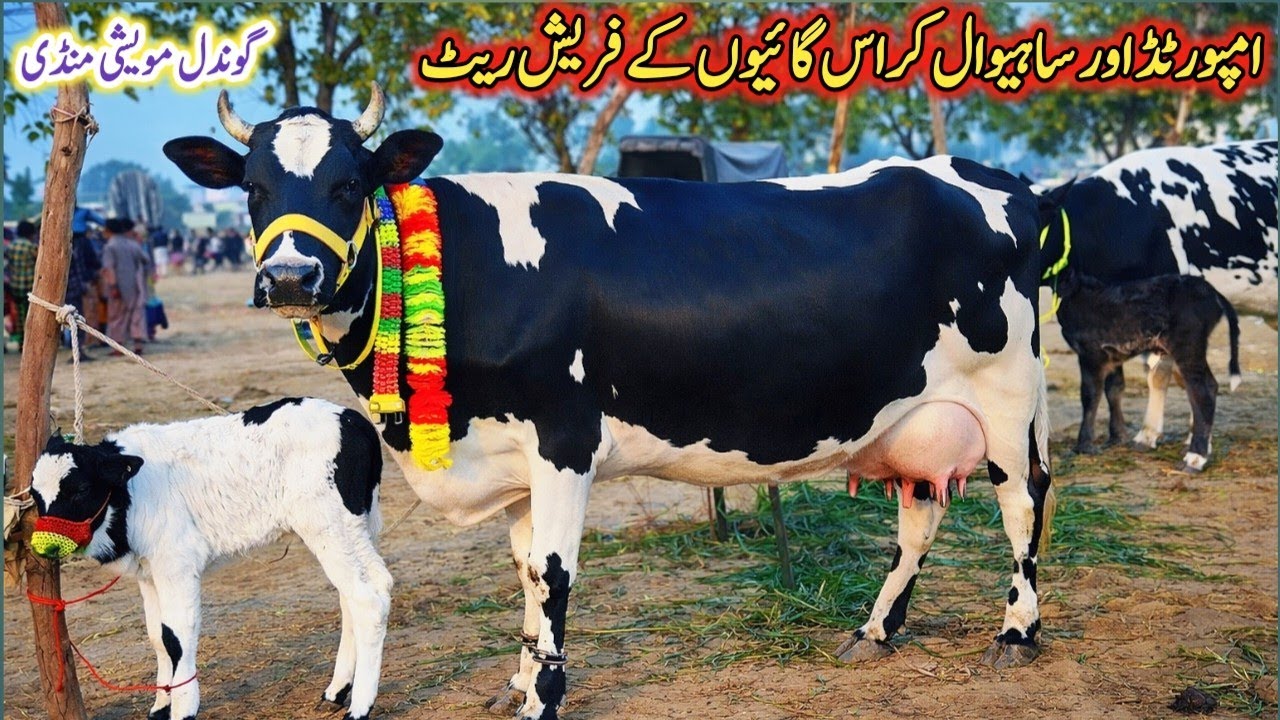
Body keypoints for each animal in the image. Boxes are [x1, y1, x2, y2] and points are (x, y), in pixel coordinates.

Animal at [28, 398, 391, 720]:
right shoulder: (150, 572)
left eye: (80, 489)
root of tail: (354, 421)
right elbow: (156, 636)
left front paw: (183, 708)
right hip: (356, 527)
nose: (45, 545)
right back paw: (336, 692)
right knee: (361, 593)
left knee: (368, 598)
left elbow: (176, 636)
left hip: (329, 527)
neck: (132, 492)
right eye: (34, 493)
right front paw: (161, 706)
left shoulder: (177, 564)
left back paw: (359, 708)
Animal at [164, 83, 1054, 720]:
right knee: (920, 514)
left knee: (1024, 501)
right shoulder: (513, 459)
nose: (289, 276)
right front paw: (519, 683)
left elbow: (554, 574)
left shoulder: (564, 438)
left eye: (349, 184)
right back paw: (874, 630)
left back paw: (1017, 632)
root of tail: (993, 177)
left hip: (1007, 396)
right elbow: (525, 574)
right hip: (916, 416)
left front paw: (545, 699)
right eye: (252, 188)